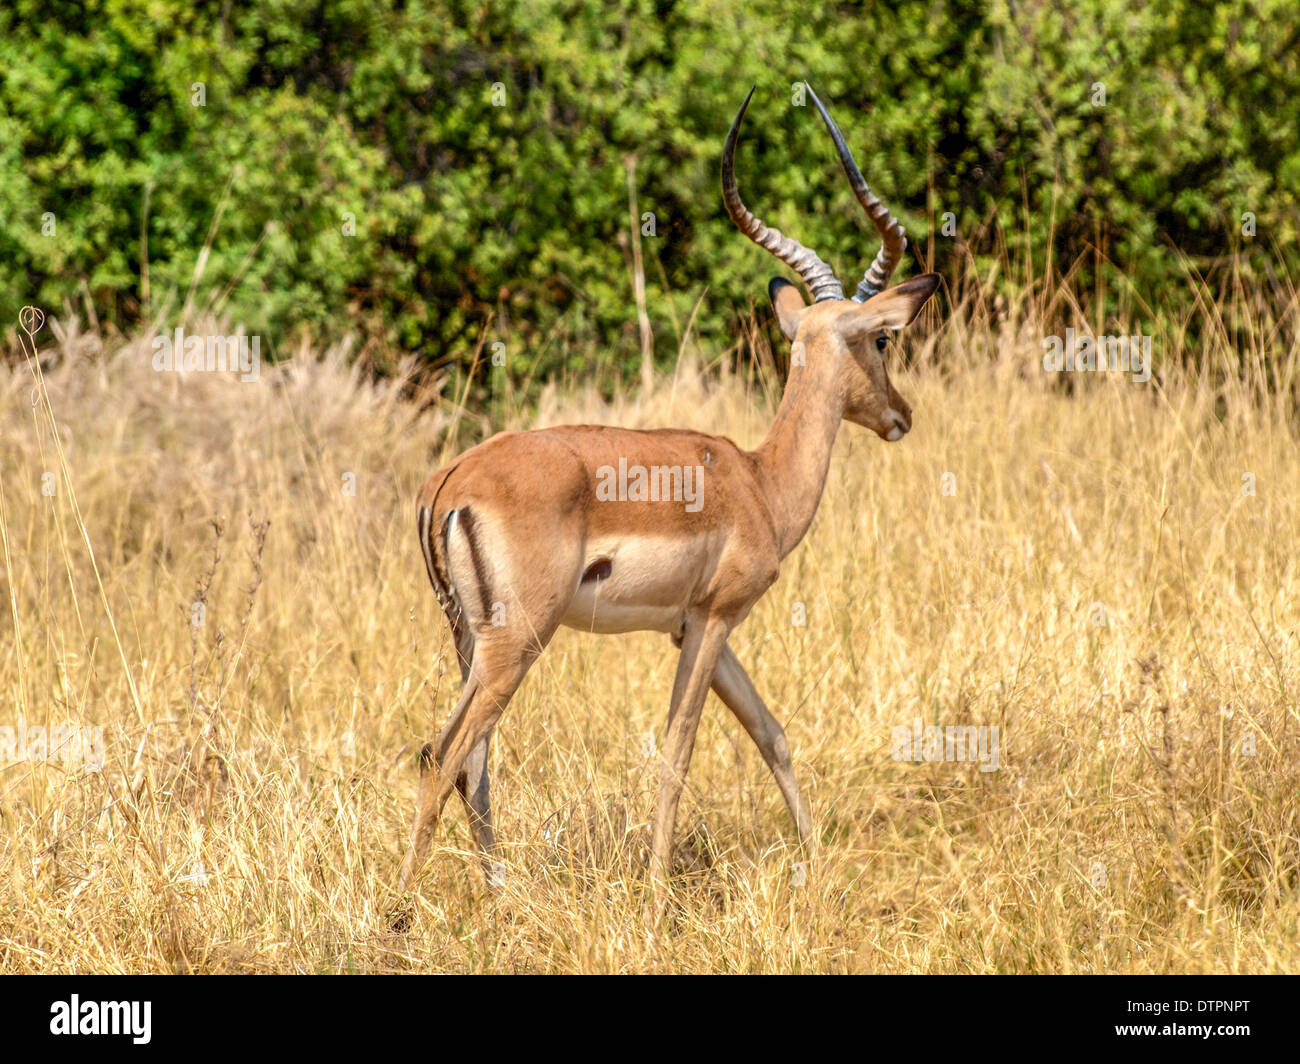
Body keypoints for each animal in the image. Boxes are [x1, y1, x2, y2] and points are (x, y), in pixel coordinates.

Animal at [395, 84, 940, 915]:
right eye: (881, 340)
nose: (899, 415)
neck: (759, 480)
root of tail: (452, 481)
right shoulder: (714, 618)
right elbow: (680, 747)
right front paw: (655, 893)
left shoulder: (690, 626)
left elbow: (772, 731)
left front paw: (817, 864)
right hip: (517, 641)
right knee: (442, 751)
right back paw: (400, 912)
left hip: (470, 641)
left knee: (471, 760)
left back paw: (499, 896)